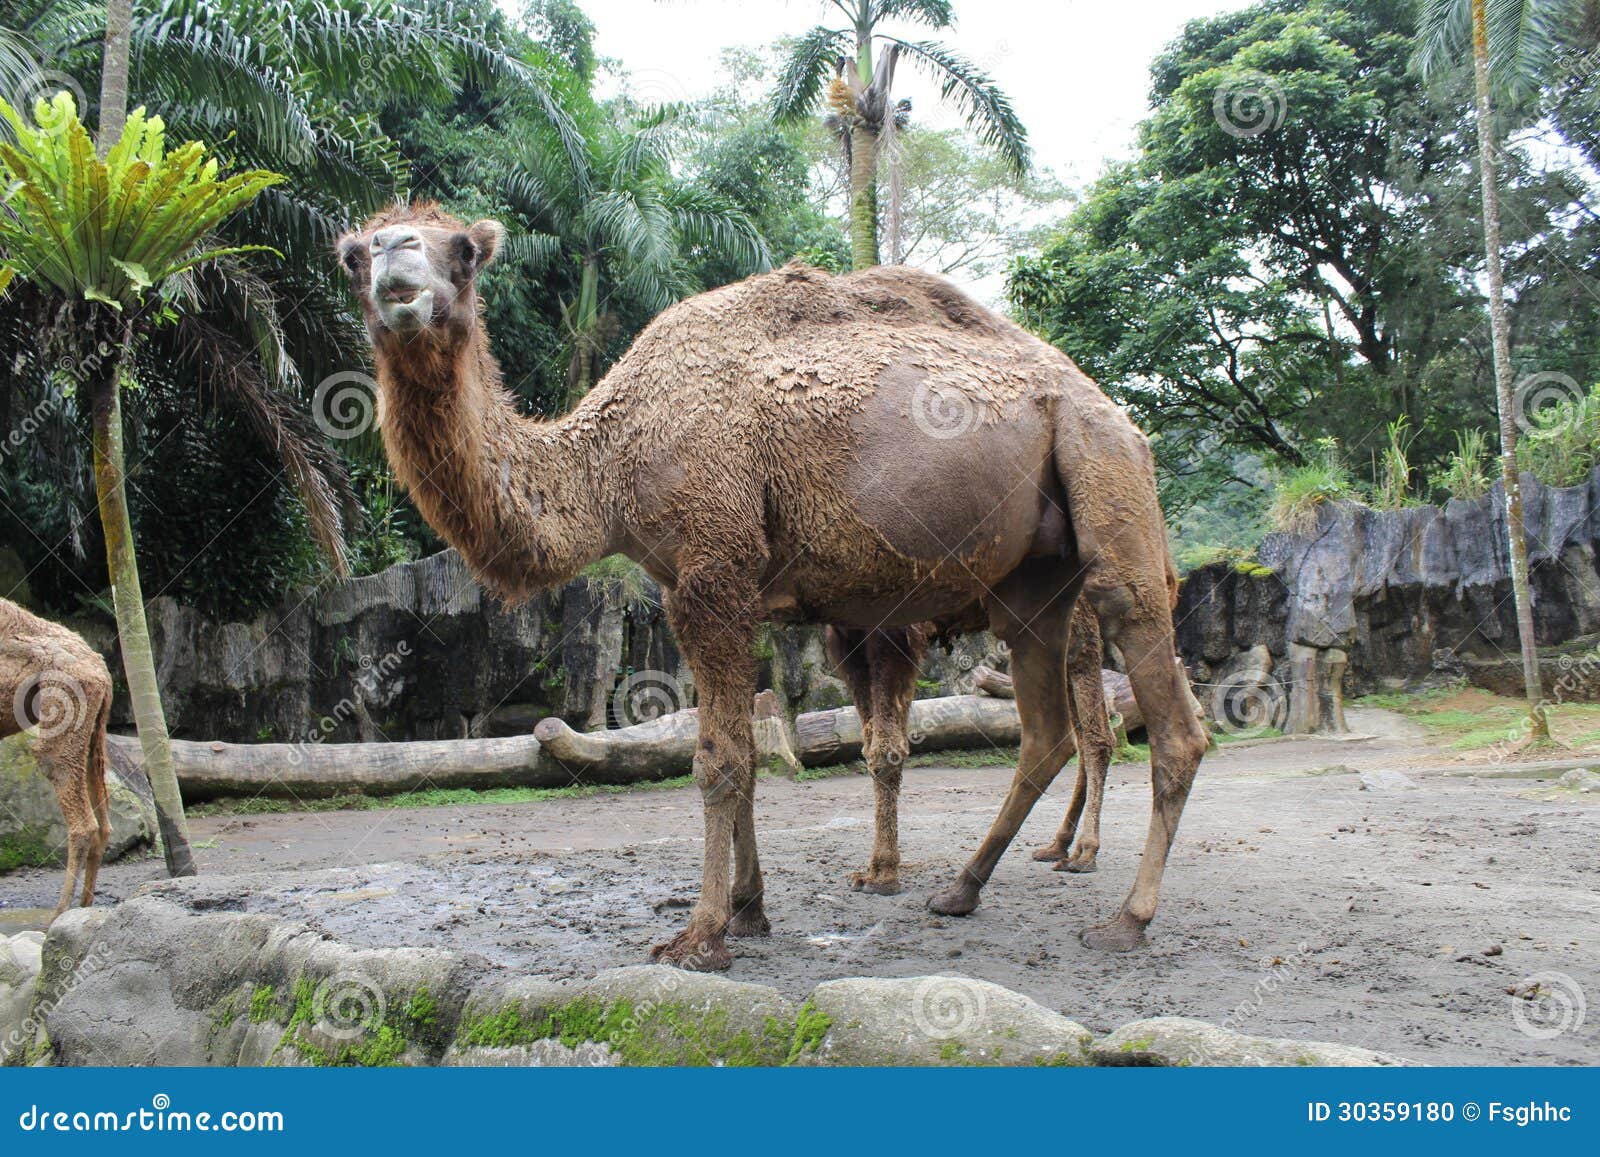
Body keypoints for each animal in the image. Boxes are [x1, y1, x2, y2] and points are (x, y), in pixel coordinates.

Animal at [0, 598, 114, 919]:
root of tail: (101, 669)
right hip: (93, 734)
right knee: (103, 822)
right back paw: (84, 907)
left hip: (63, 718)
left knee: (83, 823)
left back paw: (59, 913)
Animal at [338, 203, 1207, 970]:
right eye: (355, 252)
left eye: (462, 250)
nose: (394, 258)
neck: (610, 460)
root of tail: (1118, 415)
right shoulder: (710, 585)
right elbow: (750, 750)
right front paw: (751, 909)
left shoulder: (712, 572)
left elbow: (718, 759)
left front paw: (701, 935)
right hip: (1033, 582)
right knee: (1048, 730)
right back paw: (963, 888)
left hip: (1104, 479)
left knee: (1163, 718)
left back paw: (1123, 914)